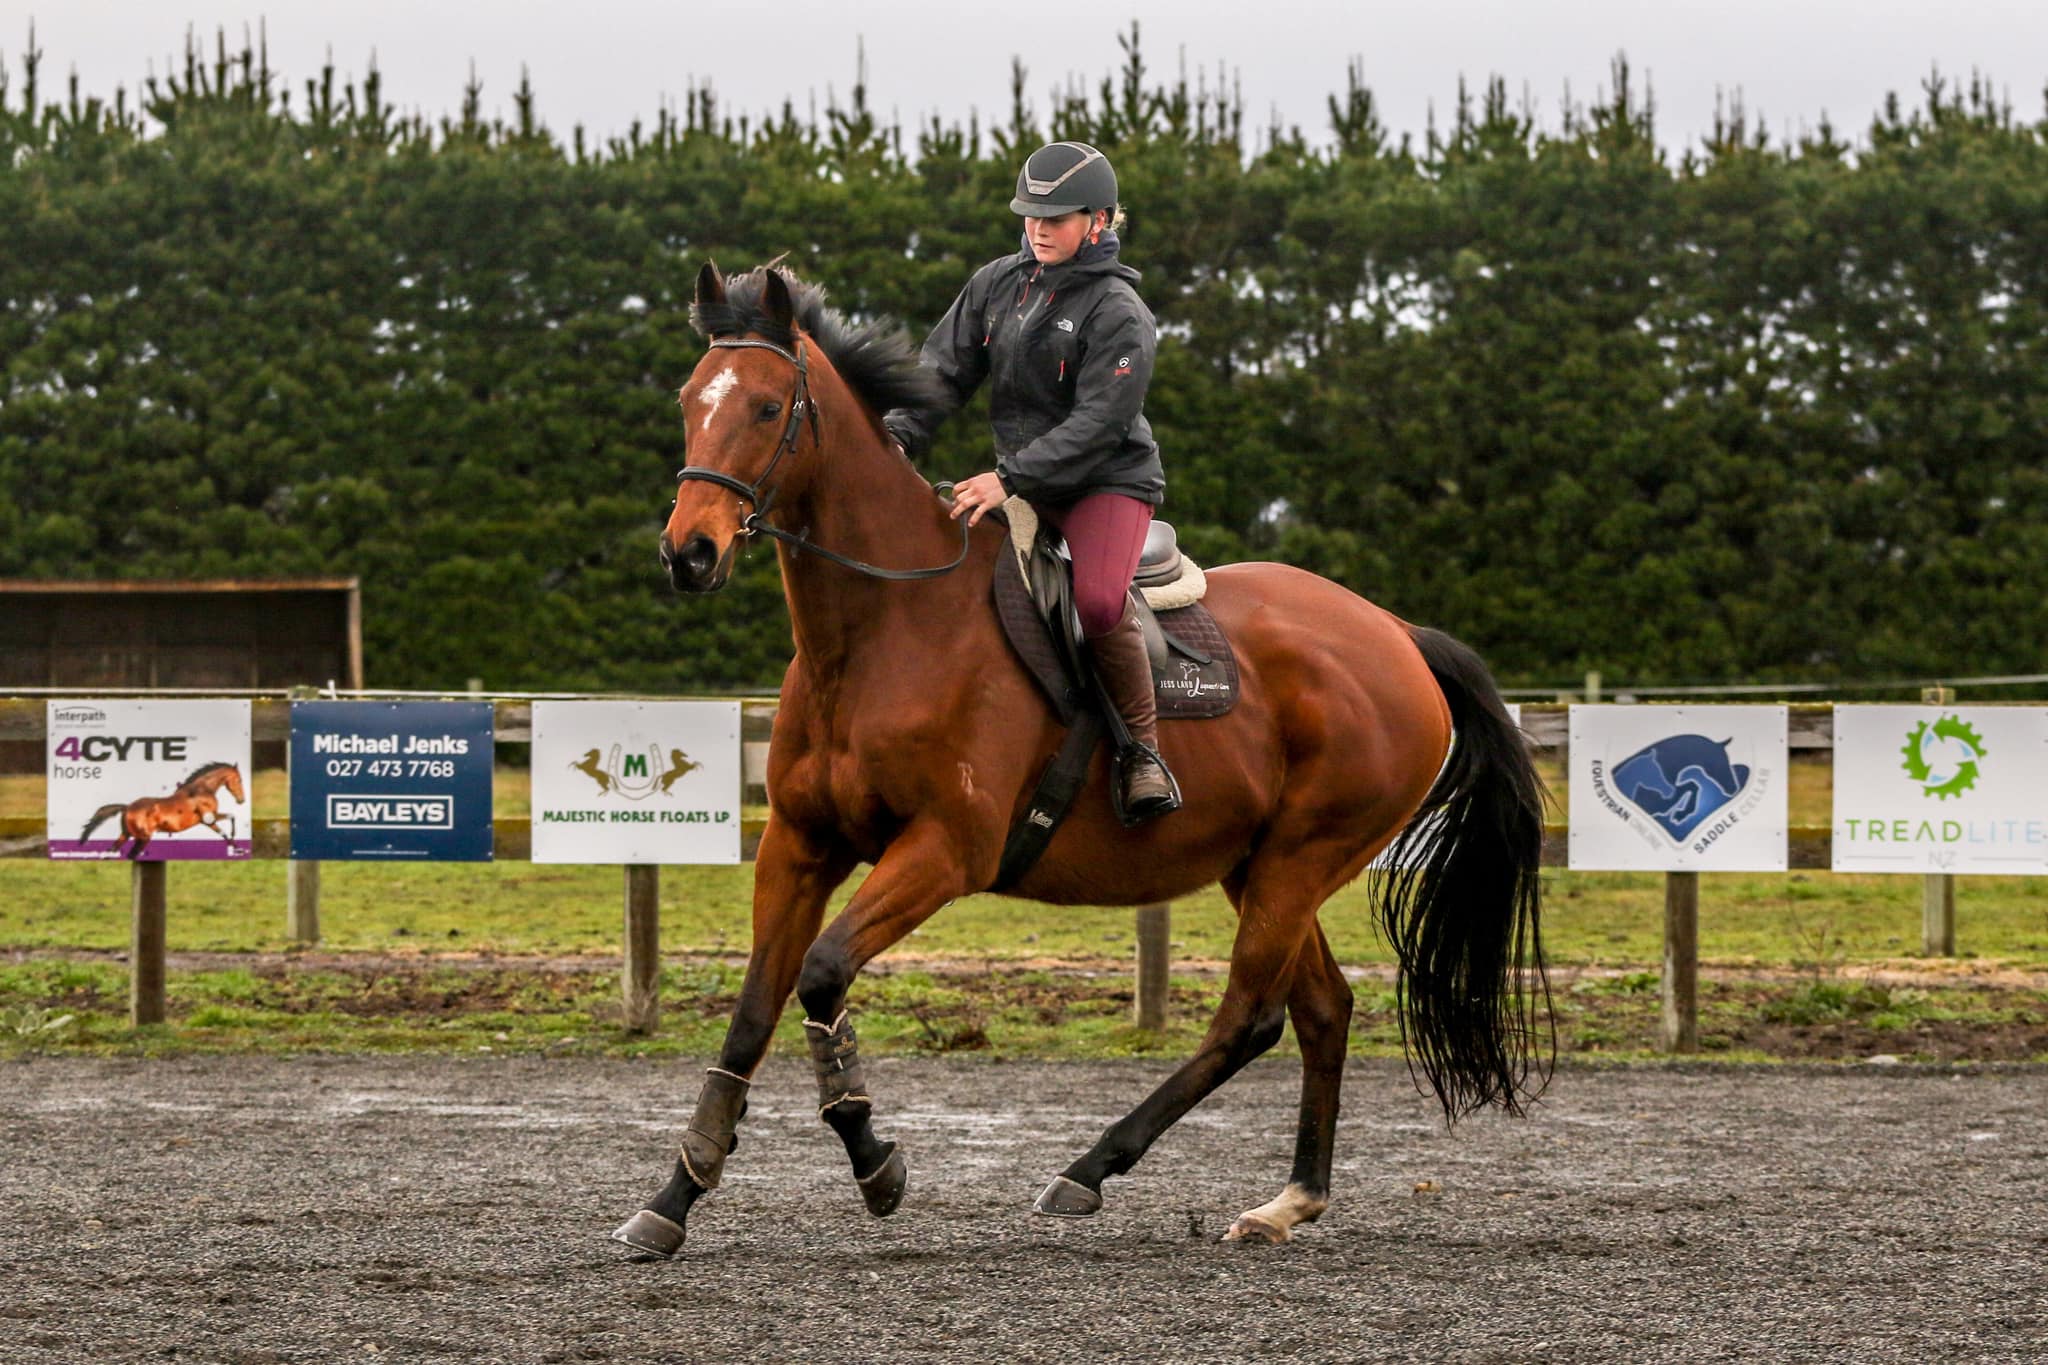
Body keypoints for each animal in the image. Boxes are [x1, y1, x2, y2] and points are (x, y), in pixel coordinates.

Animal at [78, 762, 246, 859]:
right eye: (239, 780)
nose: (242, 800)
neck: (200, 791)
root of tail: (127, 807)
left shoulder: (207, 822)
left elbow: (226, 828)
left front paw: (237, 848)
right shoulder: (208, 819)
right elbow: (229, 821)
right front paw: (236, 845)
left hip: (126, 835)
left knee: (112, 851)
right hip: (143, 838)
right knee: (131, 855)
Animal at [614, 262, 1550, 1257]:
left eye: (765, 406)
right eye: (689, 401)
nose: (689, 552)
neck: (880, 631)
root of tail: (1398, 634)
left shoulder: (945, 850)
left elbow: (823, 974)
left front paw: (874, 1160)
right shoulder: (799, 845)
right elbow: (754, 1011)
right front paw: (677, 1192)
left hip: (1301, 861)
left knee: (1251, 1017)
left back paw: (1090, 1167)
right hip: (1259, 865)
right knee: (1323, 1010)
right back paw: (1289, 1199)